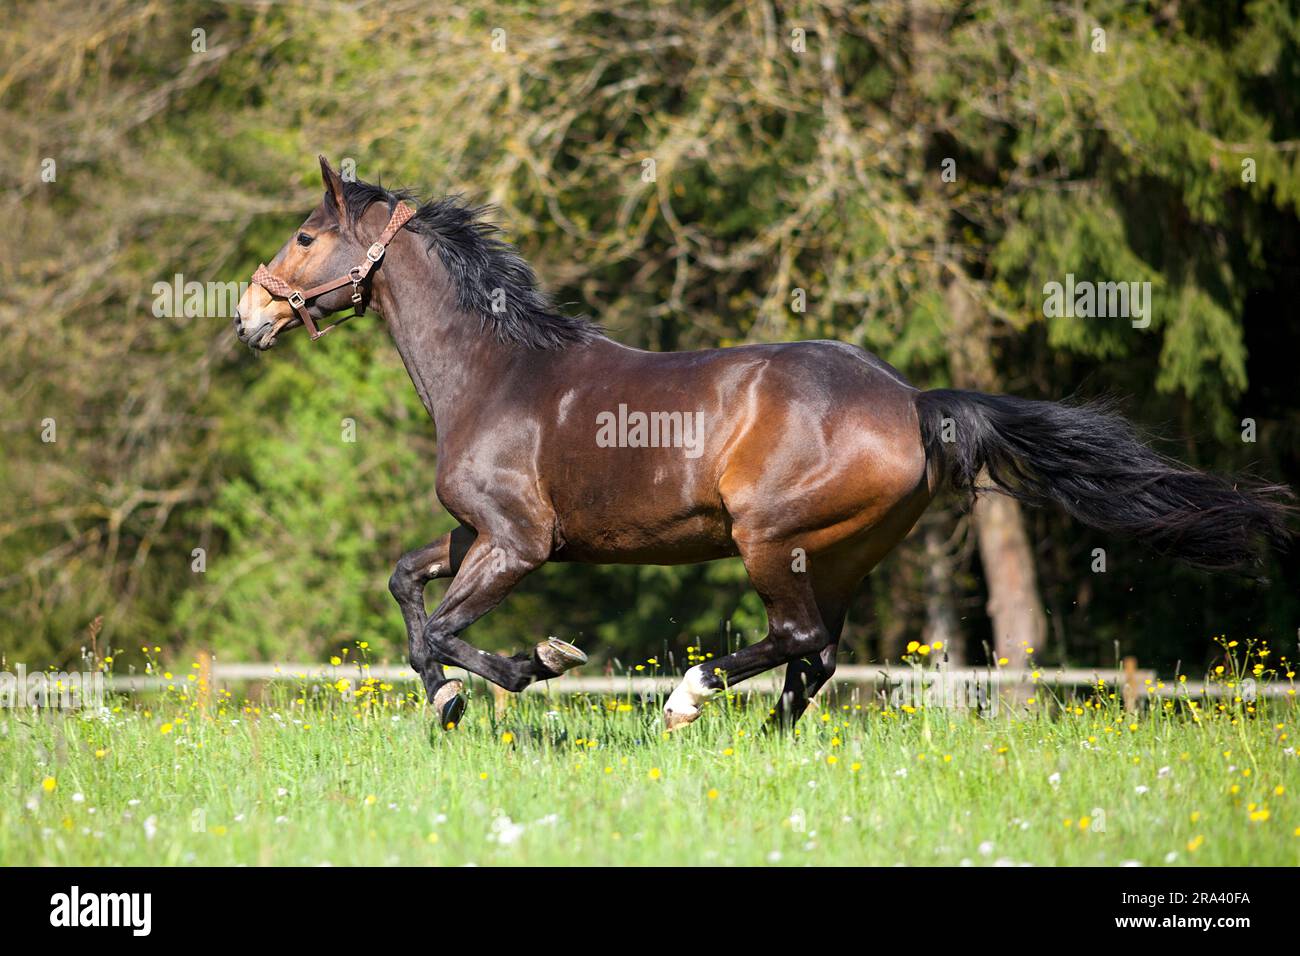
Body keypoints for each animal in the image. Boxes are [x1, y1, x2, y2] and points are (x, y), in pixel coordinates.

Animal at [235, 157, 1294, 731]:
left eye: (303, 237)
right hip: (845, 551)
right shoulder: (473, 535)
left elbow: (443, 633)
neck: (495, 372)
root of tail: (913, 399)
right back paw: (771, 740)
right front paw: (459, 696)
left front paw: (527, 669)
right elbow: (405, 590)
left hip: (770, 538)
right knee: (814, 660)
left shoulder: (518, 544)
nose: (248, 315)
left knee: (796, 641)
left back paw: (688, 700)